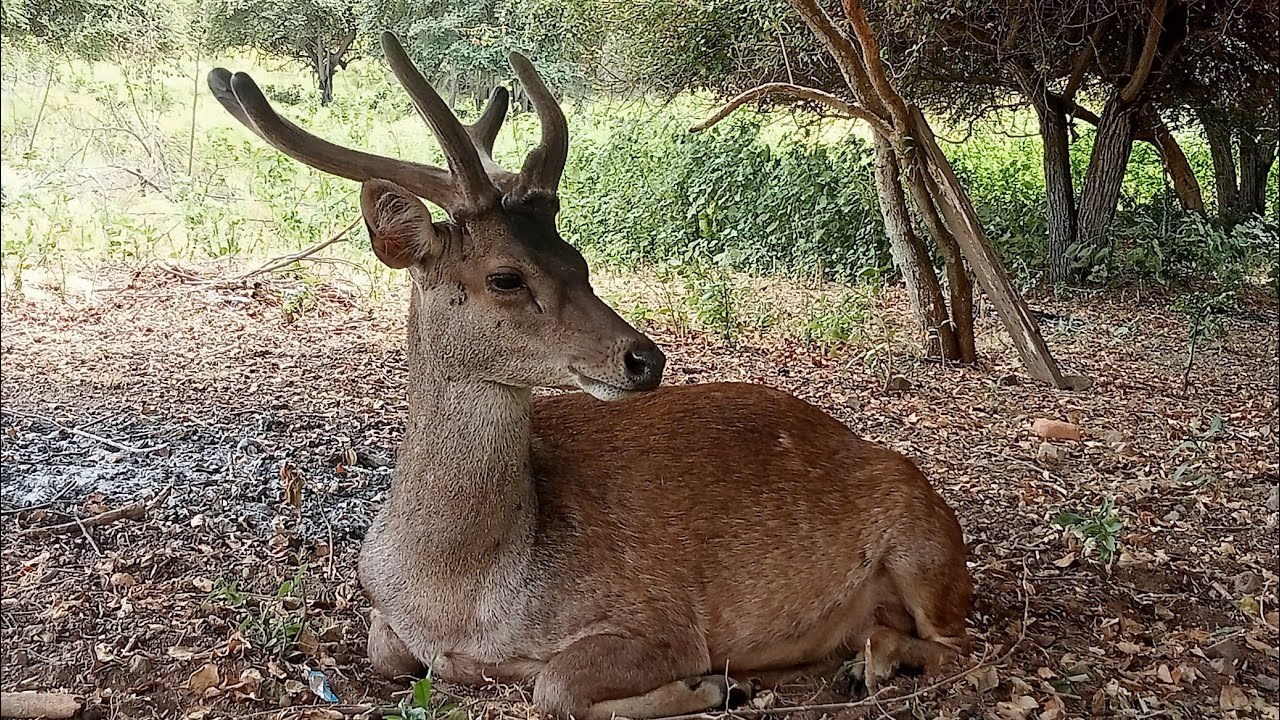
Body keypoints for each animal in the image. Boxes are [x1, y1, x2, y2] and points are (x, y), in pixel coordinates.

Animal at [208, 32, 973, 720]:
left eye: (578, 259)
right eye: (506, 277)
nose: (644, 358)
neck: (461, 597)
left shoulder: (660, 617)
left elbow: (557, 686)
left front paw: (713, 686)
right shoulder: (386, 617)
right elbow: (388, 652)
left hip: (924, 543)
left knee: (955, 646)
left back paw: (863, 667)